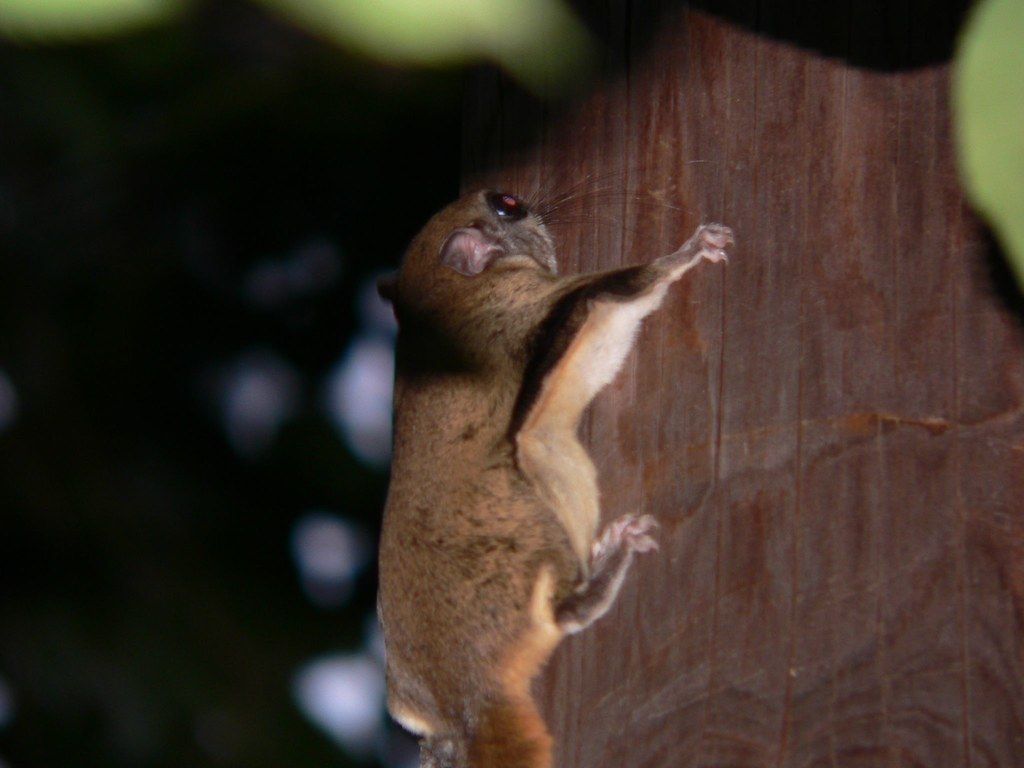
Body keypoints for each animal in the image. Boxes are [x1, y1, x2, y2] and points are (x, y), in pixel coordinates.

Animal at [376, 189, 732, 768]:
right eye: (507, 205)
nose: (531, 200)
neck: (445, 293)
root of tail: (465, 699)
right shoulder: (547, 299)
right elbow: (631, 285)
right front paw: (692, 250)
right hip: (524, 526)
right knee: (566, 612)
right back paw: (610, 565)